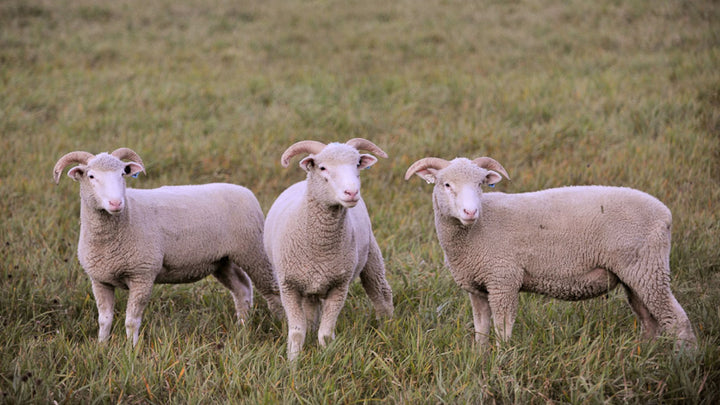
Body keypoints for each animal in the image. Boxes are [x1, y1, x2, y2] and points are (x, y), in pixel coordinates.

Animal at [53, 148, 284, 345]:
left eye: (122, 174)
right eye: (91, 176)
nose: (116, 203)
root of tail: (244, 190)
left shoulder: (142, 274)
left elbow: (131, 321)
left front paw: (131, 350)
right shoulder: (100, 279)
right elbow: (104, 319)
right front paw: (102, 347)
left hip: (253, 250)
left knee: (273, 291)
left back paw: (280, 325)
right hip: (222, 260)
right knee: (242, 288)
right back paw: (242, 328)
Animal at [264, 138, 394, 361]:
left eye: (357, 164)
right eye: (322, 167)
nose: (351, 192)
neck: (321, 247)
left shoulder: (339, 286)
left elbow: (325, 332)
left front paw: (327, 357)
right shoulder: (288, 286)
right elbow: (297, 331)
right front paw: (293, 361)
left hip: (371, 256)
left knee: (381, 292)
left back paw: (387, 328)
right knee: (311, 309)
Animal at [405, 156, 697, 349]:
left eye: (480, 184)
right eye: (446, 185)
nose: (470, 211)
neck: (478, 228)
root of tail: (665, 213)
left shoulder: (503, 280)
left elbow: (502, 329)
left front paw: (501, 361)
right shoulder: (477, 287)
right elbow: (481, 330)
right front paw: (480, 359)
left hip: (649, 269)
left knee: (677, 320)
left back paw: (683, 361)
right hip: (636, 274)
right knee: (650, 321)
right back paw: (645, 355)